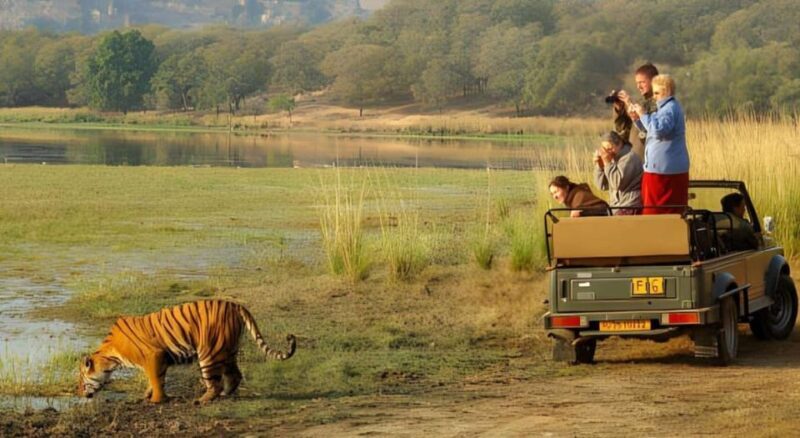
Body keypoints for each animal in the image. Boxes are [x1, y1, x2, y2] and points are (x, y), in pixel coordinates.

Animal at [78, 300, 295, 404]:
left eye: (80, 380)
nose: (78, 393)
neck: (110, 356)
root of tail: (236, 305)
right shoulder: (160, 360)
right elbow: (154, 380)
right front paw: (148, 396)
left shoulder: (154, 356)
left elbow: (155, 380)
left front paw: (157, 401)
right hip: (228, 350)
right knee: (235, 375)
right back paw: (226, 394)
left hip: (208, 353)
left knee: (214, 383)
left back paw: (202, 400)